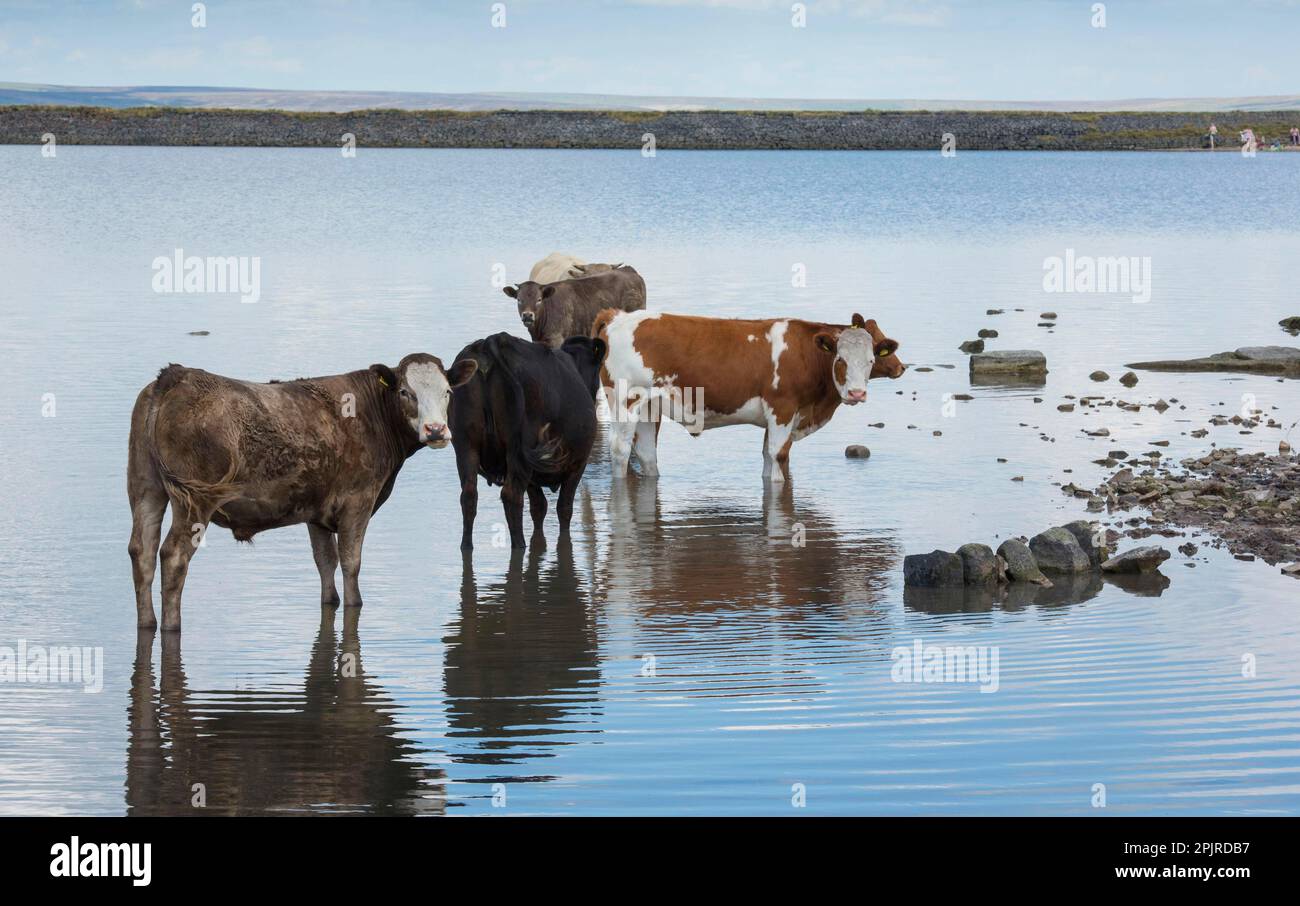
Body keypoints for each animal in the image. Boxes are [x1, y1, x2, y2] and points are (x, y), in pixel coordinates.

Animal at [127, 354, 477, 631]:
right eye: (405, 392)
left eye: (447, 392)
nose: (436, 430)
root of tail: (176, 376)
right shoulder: (358, 500)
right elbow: (350, 562)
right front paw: (355, 603)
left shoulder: (316, 510)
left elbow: (325, 561)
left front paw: (331, 600)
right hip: (194, 501)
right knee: (173, 555)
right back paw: (171, 626)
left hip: (145, 487)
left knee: (142, 551)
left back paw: (148, 623)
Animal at [450, 332, 607, 550]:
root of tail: (493, 340)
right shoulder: (578, 464)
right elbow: (564, 508)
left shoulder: (534, 475)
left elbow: (539, 507)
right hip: (518, 451)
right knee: (512, 496)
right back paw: (519, 544)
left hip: (466, 445)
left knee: (469, 495)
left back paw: (467, 546)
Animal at [593, 310, 905, 483]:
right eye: (840, 360)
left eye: (870, 359)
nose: (856, 393)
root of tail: (618, 316)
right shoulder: (782, 409)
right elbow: (779, 456)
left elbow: (769, 457)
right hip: (625, 401)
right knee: (620, 450)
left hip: (649, 408)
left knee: (646, 453)